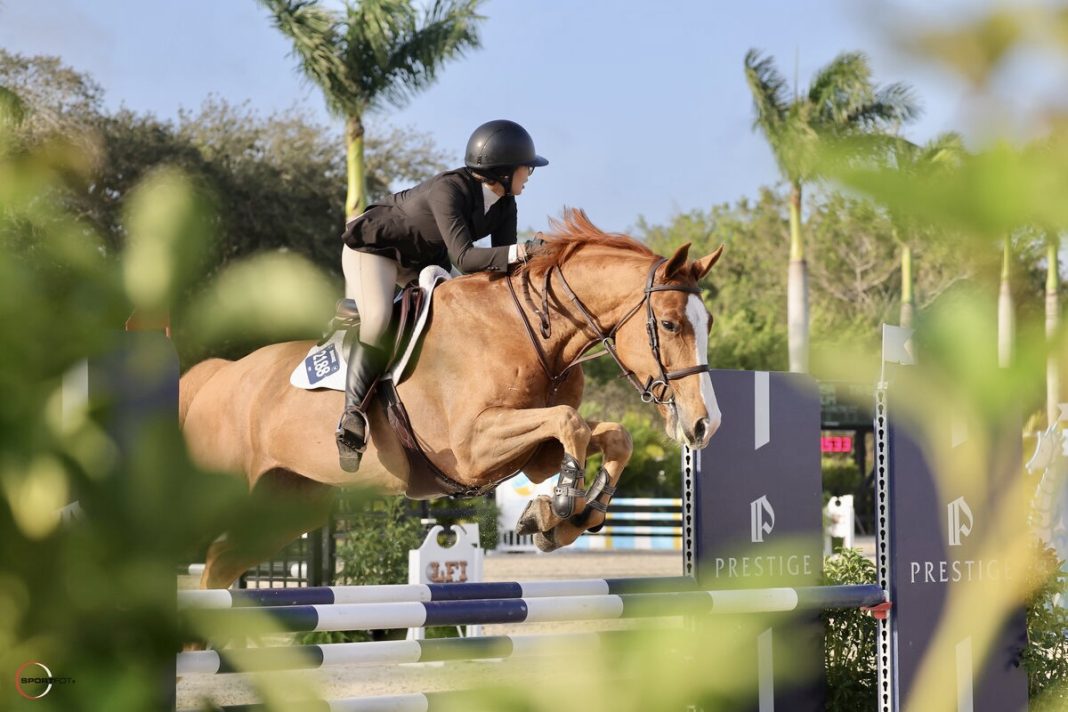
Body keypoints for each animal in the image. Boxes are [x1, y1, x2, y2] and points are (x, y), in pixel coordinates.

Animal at [179, 208, 723, 590]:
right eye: (670, 324)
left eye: (709, 324)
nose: (705, 425)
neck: (531, 331)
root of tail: (215, 377)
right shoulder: (471, 449)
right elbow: (571, 421)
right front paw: (562, 504)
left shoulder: (531, 454)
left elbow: (610, 435)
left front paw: (565, 518)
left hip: (289, 505)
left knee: (219, 565)